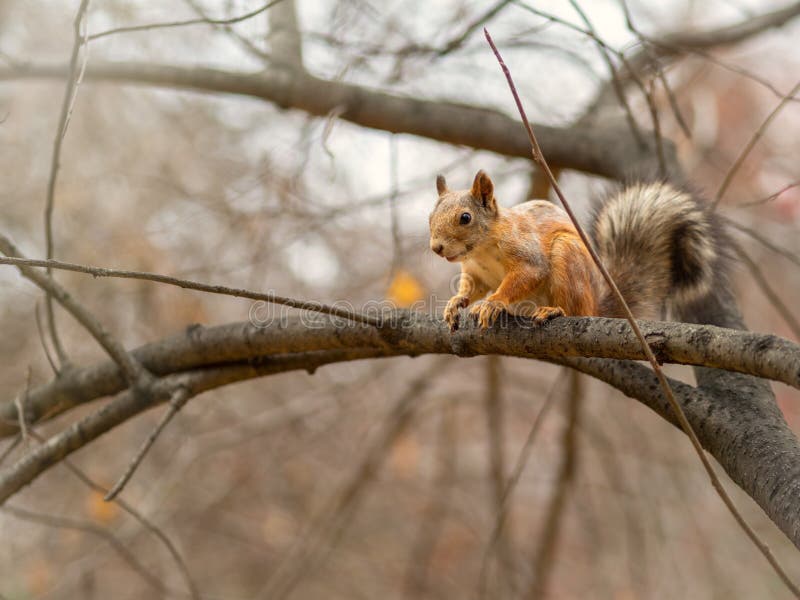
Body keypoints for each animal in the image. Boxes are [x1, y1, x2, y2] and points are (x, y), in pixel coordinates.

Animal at [429, 170, 724, 330]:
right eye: (431, 216)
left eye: (465, 217)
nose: (436, 247)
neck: (480, 251)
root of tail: (595, 306)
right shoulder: (475, 272)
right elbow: (471, 288)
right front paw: (455, 303)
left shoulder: (525, 250)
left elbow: (526, 275)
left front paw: (493, 302)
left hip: (567, 257)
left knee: (574, 310)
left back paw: (553, 311)